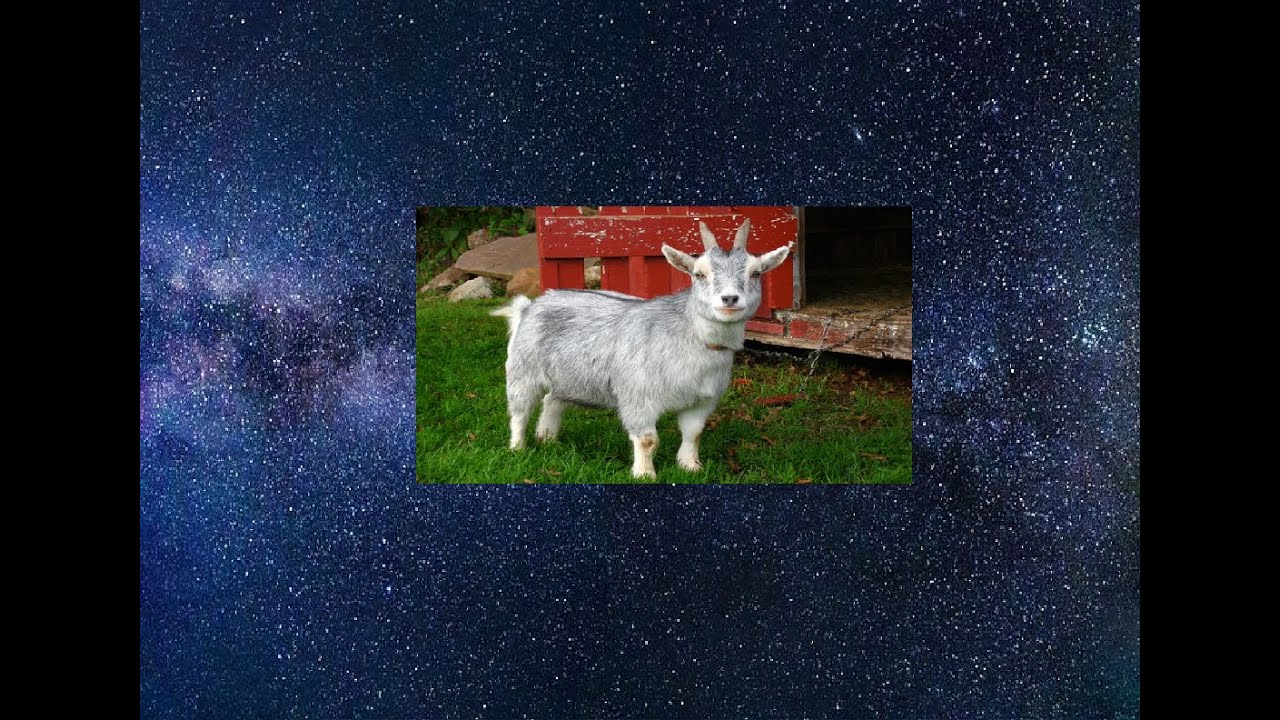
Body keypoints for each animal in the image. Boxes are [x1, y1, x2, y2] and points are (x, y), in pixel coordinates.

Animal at [491, 219, 792, 478]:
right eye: (699, 274)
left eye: (756, 272)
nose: (729, 299)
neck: (689, 336)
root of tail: (529, 306)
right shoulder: (638, 397)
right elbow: (647, 440)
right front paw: (645, 474)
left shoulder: (702, 400)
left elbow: (693, 433)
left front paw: (690, 467)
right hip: (522, 371)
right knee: (519, 410)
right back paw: (518, 448)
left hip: (568, 377)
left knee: (553, 399)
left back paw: (548, 439)